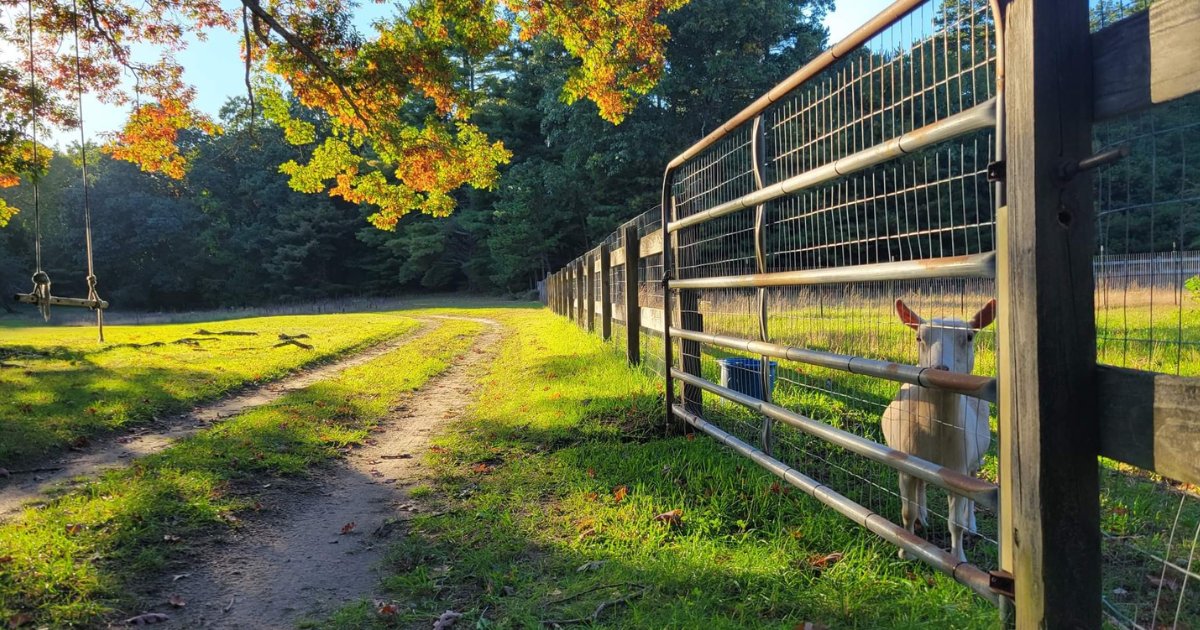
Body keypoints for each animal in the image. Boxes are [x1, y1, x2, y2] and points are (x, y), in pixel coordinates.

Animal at [881, 298, 996, 562]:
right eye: (919, 338)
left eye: (969, 336)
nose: (940, 368)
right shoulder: (907, 463)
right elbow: (907, 511)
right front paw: (906, 550)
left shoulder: (958, 469)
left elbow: (955, 524)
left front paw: (958, 557)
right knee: (921, 487)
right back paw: (923, 517)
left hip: (974, 460)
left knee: (973, 487)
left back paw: (971, 523)